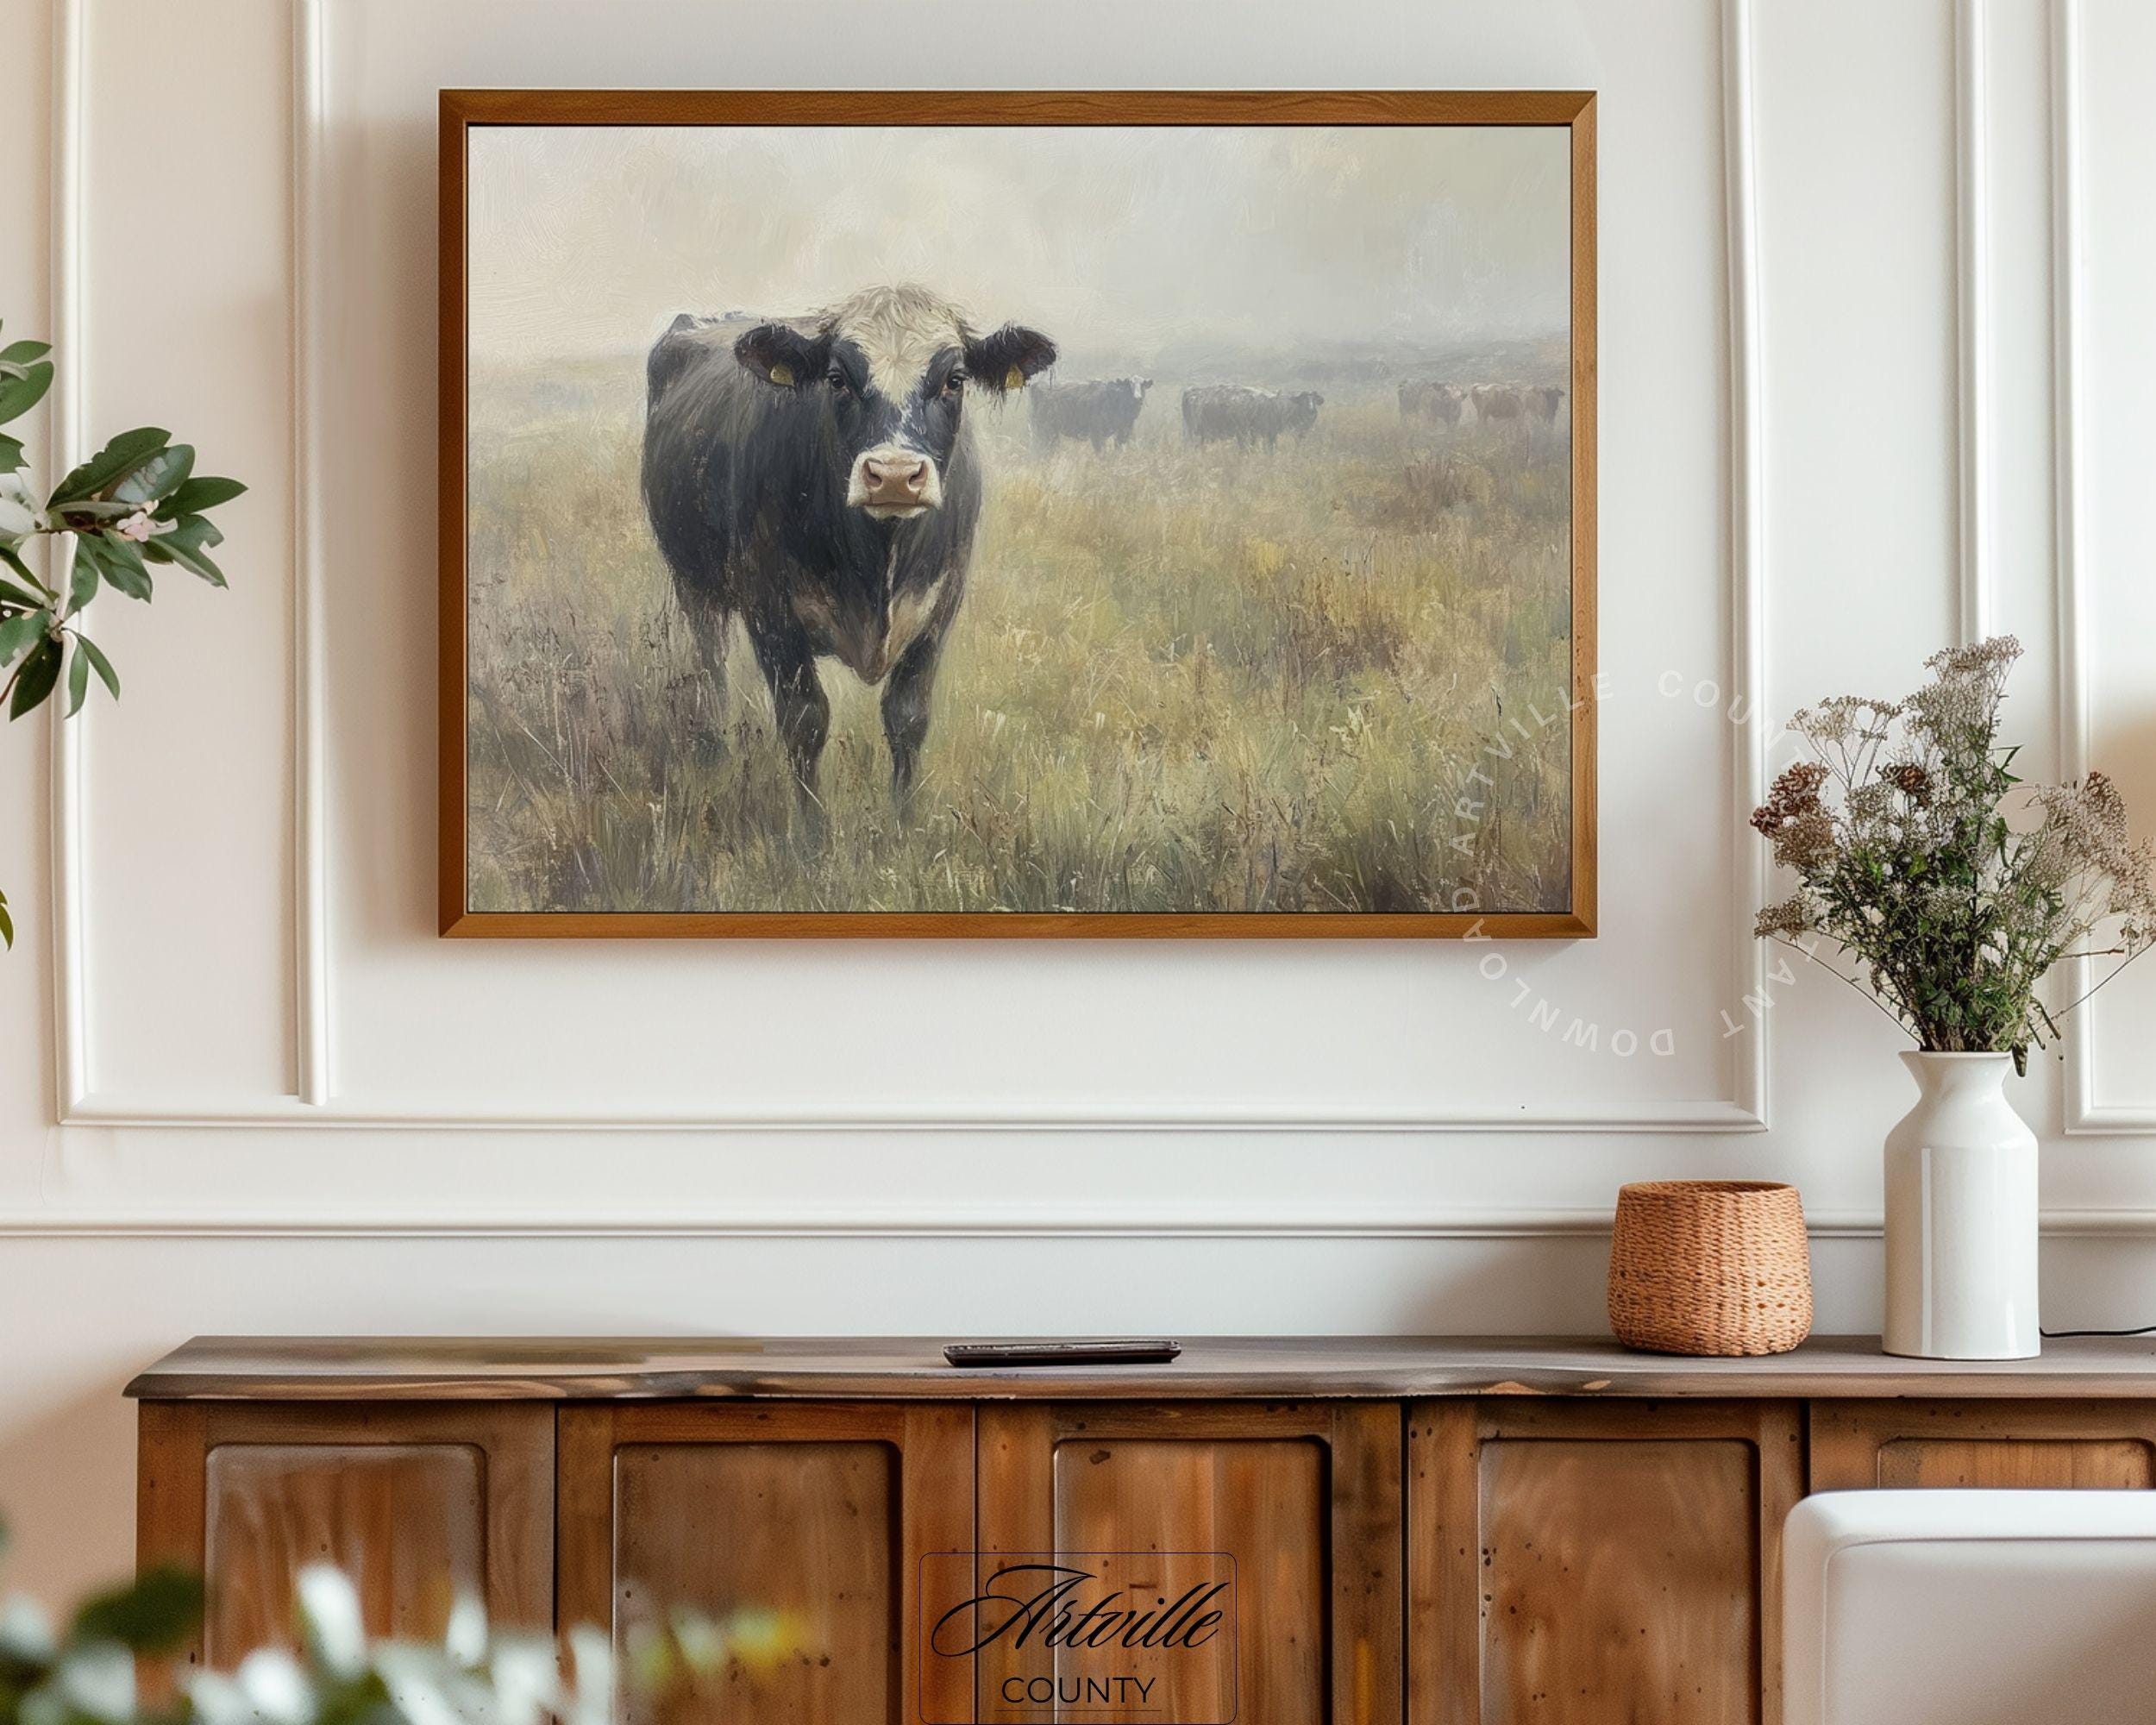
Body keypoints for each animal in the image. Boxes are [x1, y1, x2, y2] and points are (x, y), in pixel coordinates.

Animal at [641, 285, 1056, 829]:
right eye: (837, 379)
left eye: (955, 379)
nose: (895, 475)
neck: (877, 561)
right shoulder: (770, 614)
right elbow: (805, 722)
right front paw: (813, 834)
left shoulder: (939, 610)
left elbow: (907, 718)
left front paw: (904, 826)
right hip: (692, 579)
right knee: (710, 660)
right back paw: (711, 751)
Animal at [1030, 377, 1152, 451]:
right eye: (1128, 385)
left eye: (1143, 385)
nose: (1137, 398)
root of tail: (1038, 384)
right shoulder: (1096, 433)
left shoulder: (1122, 433)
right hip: (1046, 429)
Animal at [1181, 385, 1324, 450]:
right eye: (1303, 400)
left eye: (1315, 400)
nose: (1311, 410)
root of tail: (1190, 391)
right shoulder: (1260, 433)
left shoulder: (1262, 434)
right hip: (1193, 431)